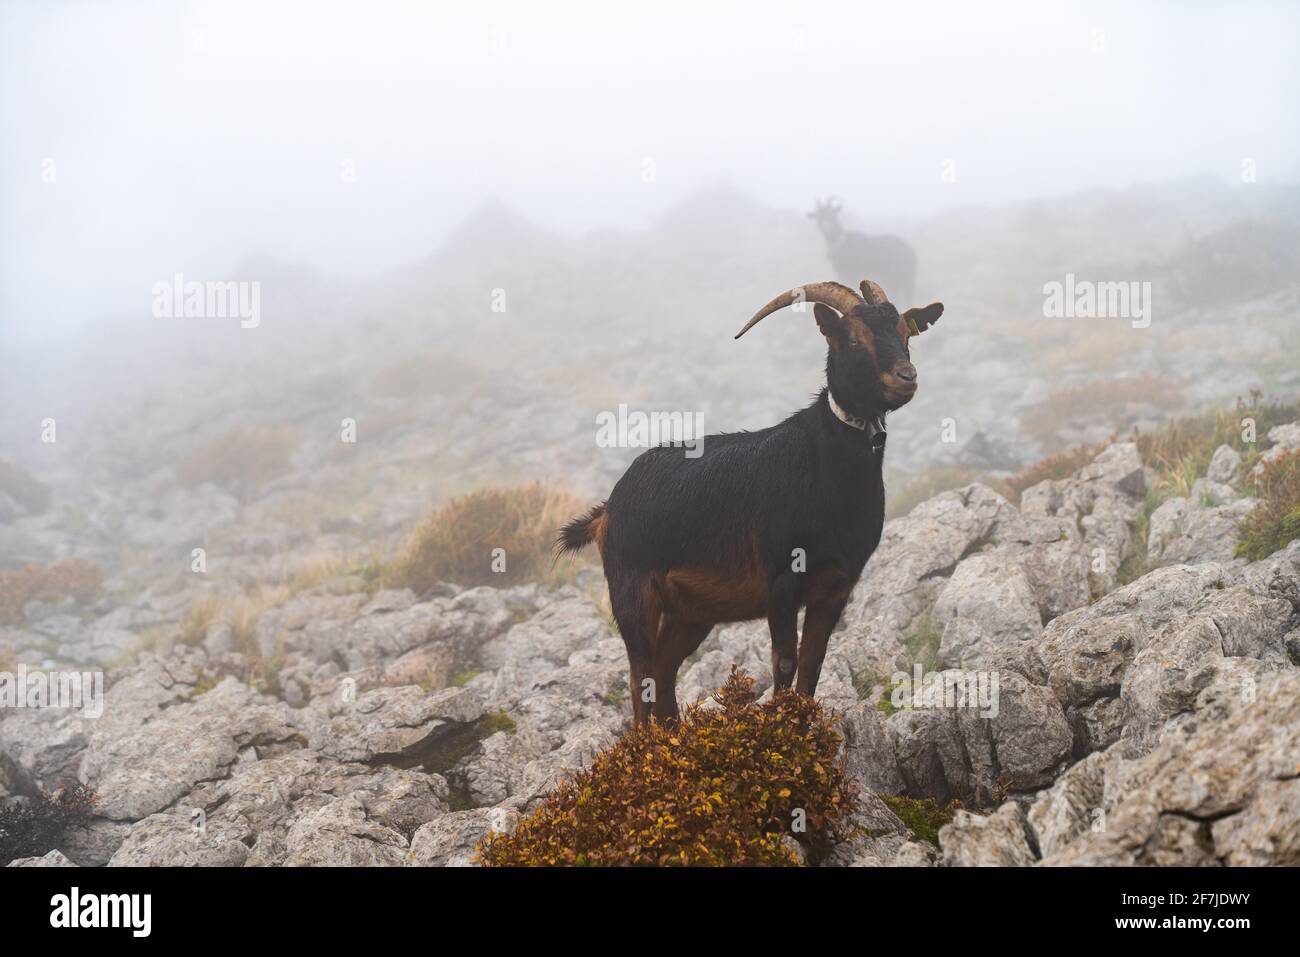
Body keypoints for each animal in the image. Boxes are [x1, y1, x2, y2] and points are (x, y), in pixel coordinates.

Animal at [559, 278, 944, 723]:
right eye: (852, 338)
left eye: (905, 334)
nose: (906, 376)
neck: (823, 465)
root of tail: (607, 510)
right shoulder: (781, 581)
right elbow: (785, 662)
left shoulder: (836, 588)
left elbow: (813, 663)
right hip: (631, 591)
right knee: (641, 675)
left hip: (691, 612)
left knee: (663, 669)